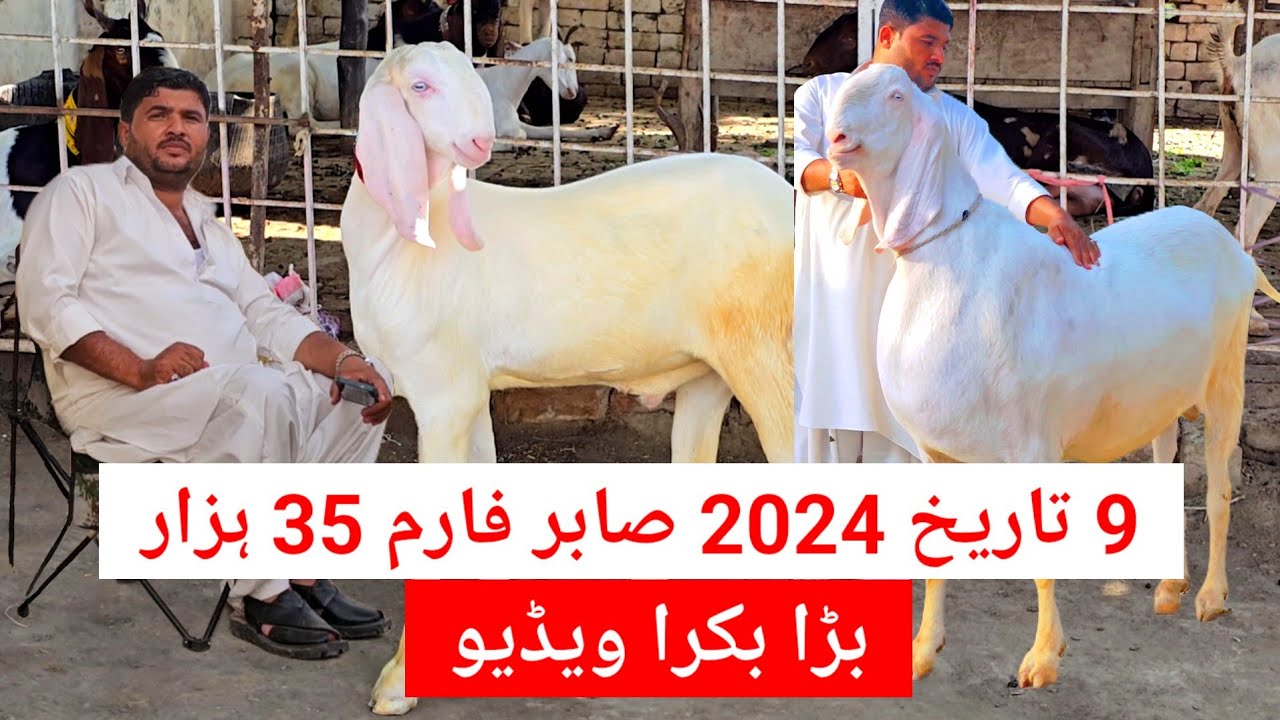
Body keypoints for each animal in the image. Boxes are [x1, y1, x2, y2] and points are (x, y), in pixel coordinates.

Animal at [481, 37, 616, 148]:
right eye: (570, 58)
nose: (574, 91)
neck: (503, 85)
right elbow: (520, 136)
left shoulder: (517, 123)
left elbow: (552, 130)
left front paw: (605, 131)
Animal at [825, 63, 1280, 690]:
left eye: (896, 95)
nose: (836, 139)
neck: (947, 260)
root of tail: (1231, 246)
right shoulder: (936, 453)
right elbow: (934, 557)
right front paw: (922, 651)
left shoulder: (1032, 445)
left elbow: (1042, 561)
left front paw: (1042, 657)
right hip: (1162, 398)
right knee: (1167, 460)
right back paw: (1169, 586)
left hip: (1226, 383)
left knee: (1217, 490)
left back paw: (1210, 596)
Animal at [1194, 0, 1280, 335]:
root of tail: (1241, 64)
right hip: (1271, 164)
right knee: (1243, 232)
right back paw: (1253, 320)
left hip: (1234, 145)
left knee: (1205, 207)